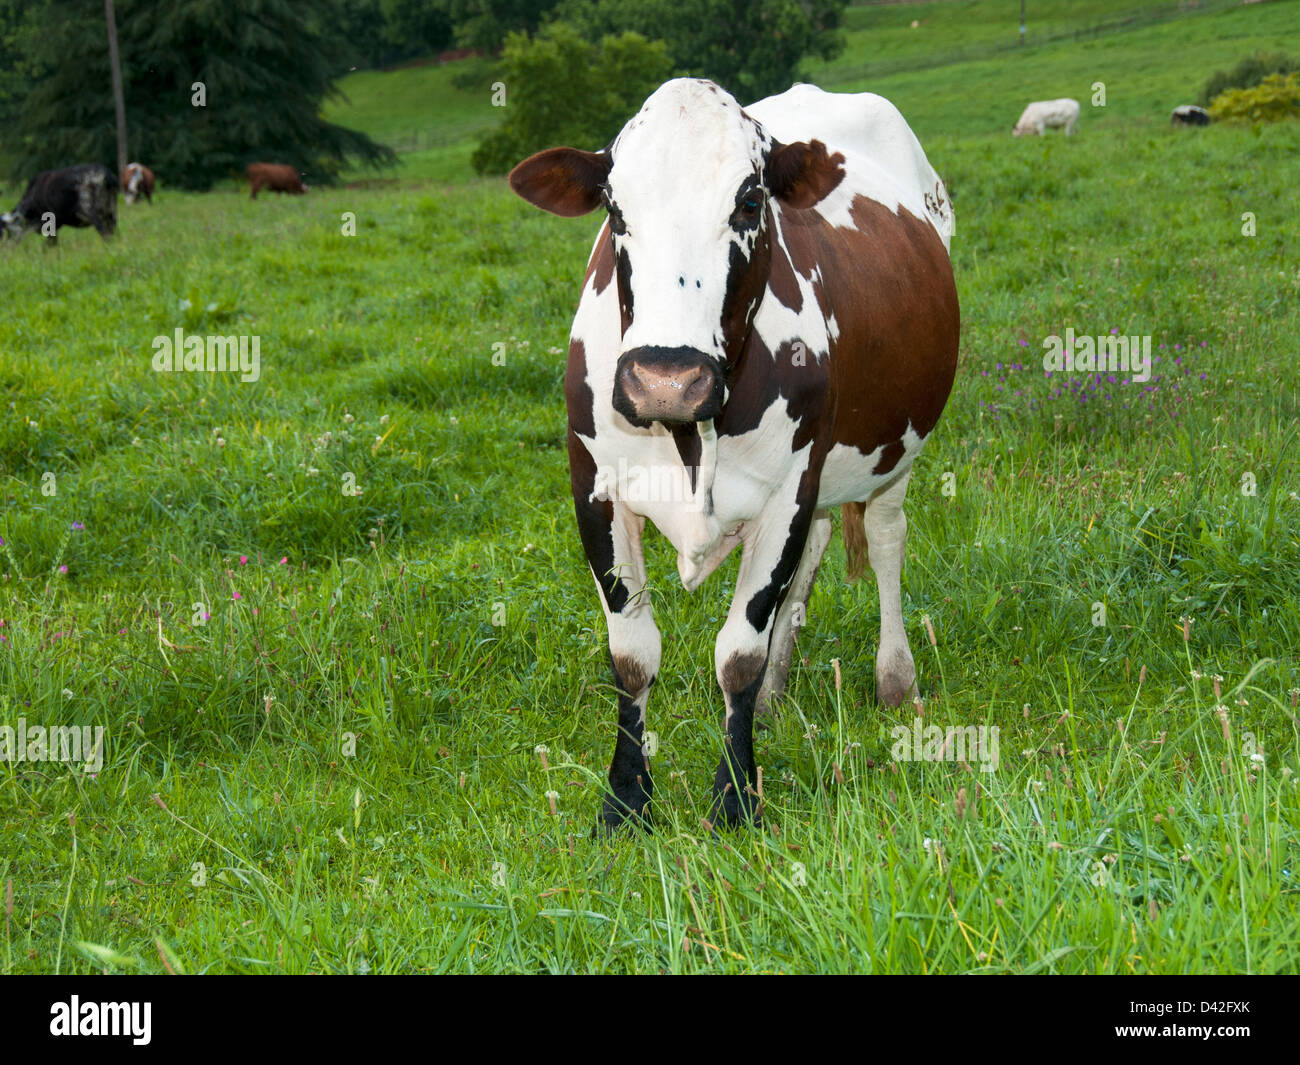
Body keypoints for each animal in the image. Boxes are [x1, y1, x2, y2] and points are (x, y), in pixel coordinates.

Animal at [512, 81, 961, 832]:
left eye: (750, 203)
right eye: (614, 209)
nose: (666, 380)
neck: (696, 434)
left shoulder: (789, 489)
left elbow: (738, 654)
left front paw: (734, 797)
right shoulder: (594, 487)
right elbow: (632, 654)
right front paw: (625, 801)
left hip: (892, 452)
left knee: (886, 539)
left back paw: (894, 677)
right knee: (810, 561)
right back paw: (779, 692)